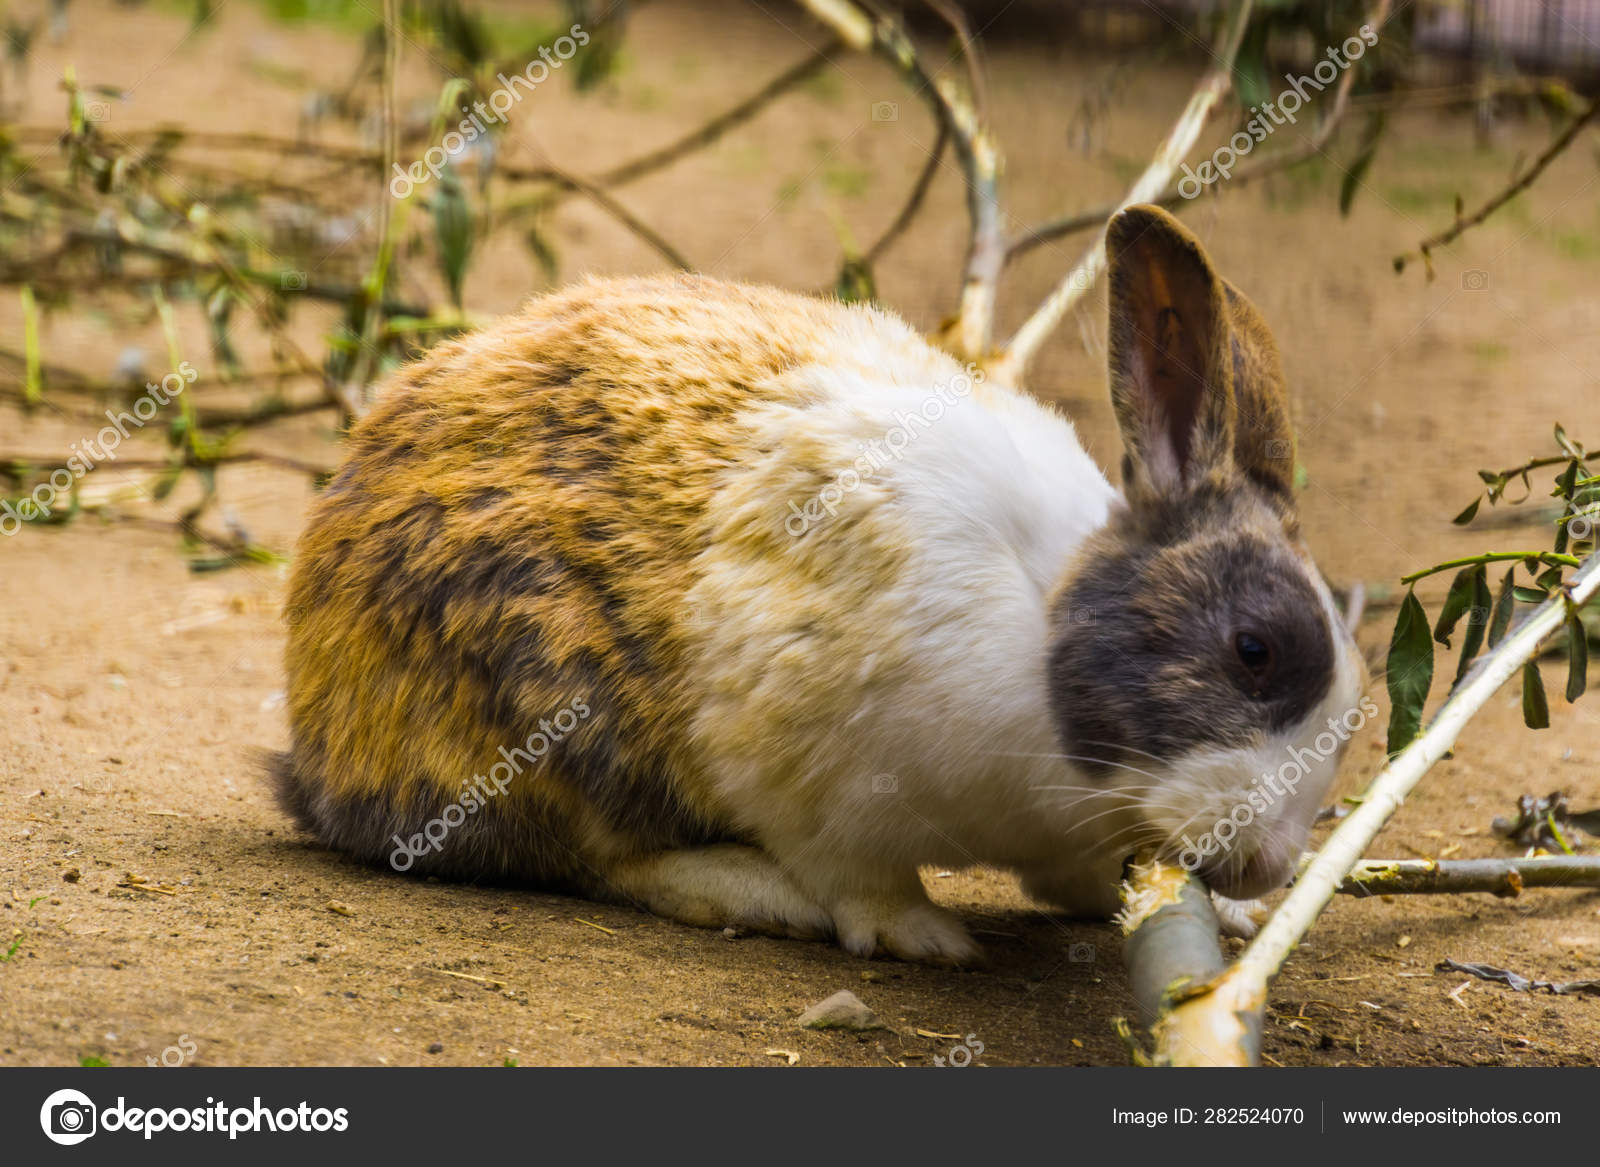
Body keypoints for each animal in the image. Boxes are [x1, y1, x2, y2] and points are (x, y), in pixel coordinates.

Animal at [270, 204, 1368, 966]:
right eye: (1255, 651)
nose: (1270, 863)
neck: (1042, 621)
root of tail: (321, 749)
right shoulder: (805, 765)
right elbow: (858, 876)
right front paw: (920, 934)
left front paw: (1230, 914)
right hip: (554, 706)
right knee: (592, 853)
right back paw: (755, 893)